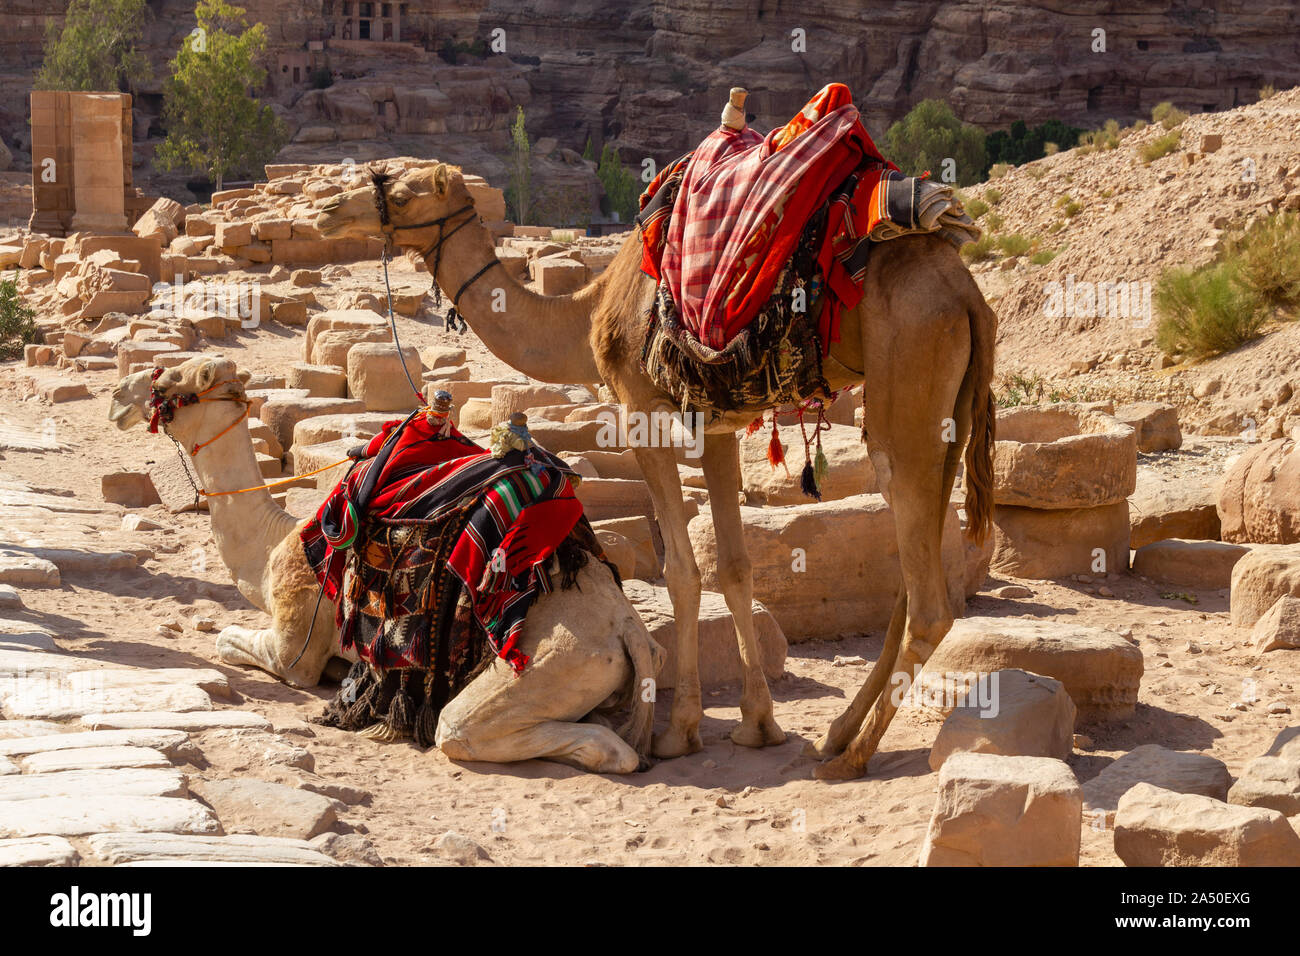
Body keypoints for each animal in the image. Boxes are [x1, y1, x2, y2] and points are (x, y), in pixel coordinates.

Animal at [108, 356, 663, 774]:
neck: (270, 550)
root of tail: (625, 625)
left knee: (477, 730)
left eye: (167, 382)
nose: (117, 398)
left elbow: (230, 641)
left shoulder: (295, 645)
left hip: (549, 662)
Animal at [315, 156, 996, 780]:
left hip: (910, 383)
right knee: (913, 576)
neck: (587, 316)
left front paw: (681, 732)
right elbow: (735, 568)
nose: (326, 211)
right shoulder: (718, 426)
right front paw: (759, 725)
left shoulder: (639, 408)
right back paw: (836, 733)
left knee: (929, 600)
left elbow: (683, 573)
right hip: (946, 418)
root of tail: (968, 295)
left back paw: (851, 757)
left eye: (403, 190)